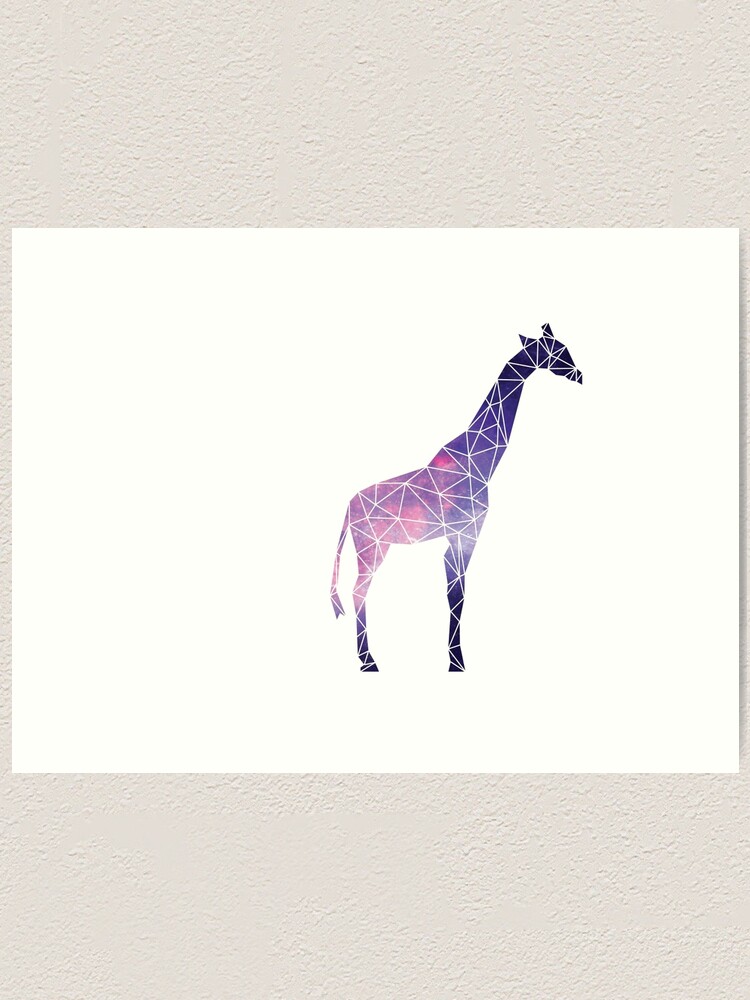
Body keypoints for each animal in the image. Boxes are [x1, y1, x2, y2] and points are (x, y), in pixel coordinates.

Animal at [330, 323, 583, 672]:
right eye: (557, 351)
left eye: (564, 347)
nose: (580, 375)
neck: (480, 460)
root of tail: (347, 509)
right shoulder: (465, 532)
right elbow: (457, 595)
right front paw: (456, 663)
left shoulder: (458, 536)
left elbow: (455, 594)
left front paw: (454, 660)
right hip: (372, 547)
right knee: (359, 592)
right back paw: (369, 663)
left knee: (360, 592)